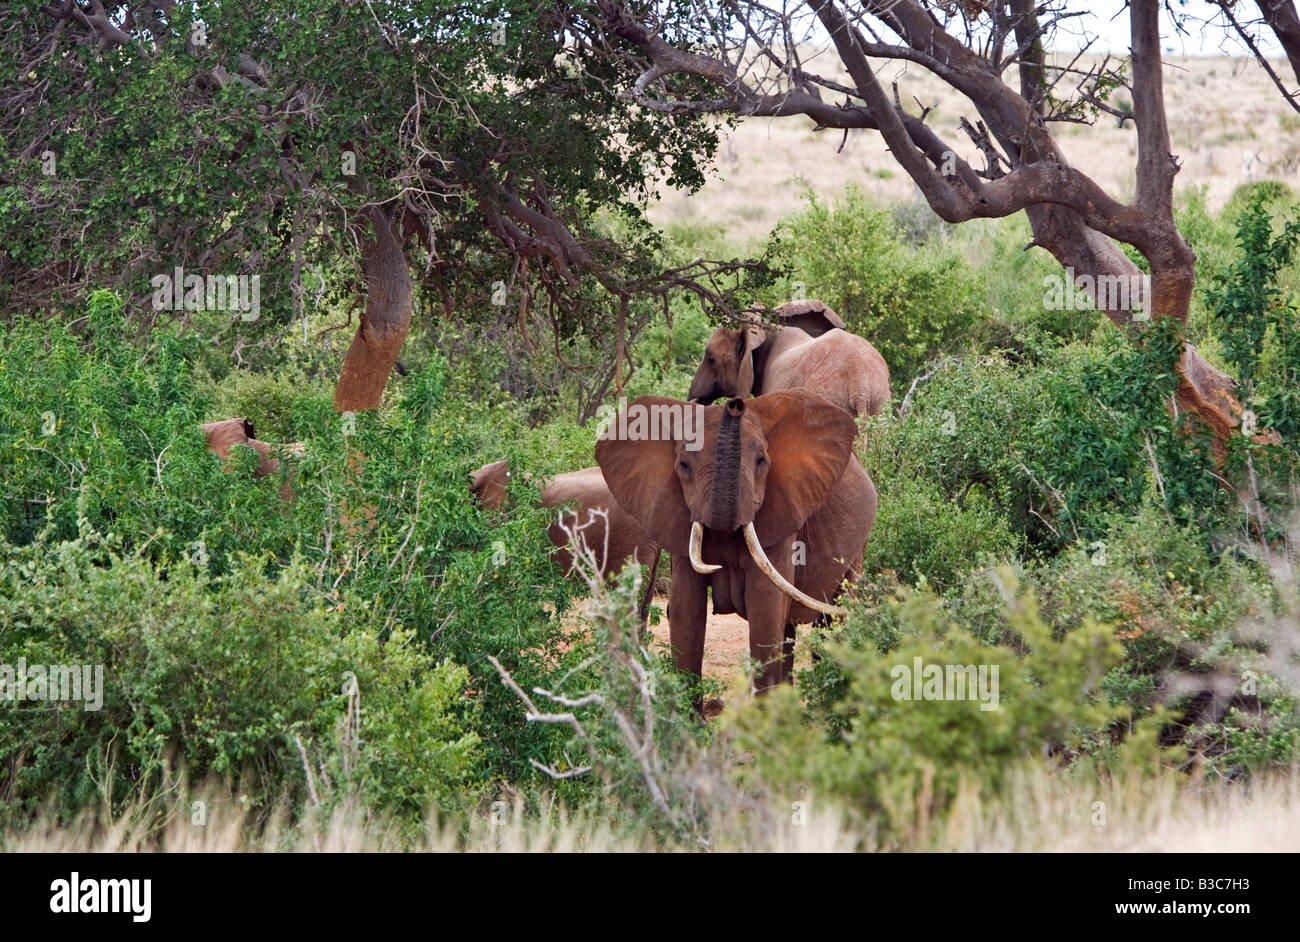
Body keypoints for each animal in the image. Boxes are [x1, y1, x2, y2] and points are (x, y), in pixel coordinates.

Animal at [596, 389, 877, 694]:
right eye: (683, 466)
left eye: (761, 461)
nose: (735, 404)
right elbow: (686, 611)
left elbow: (765, 613)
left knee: (831, 621)